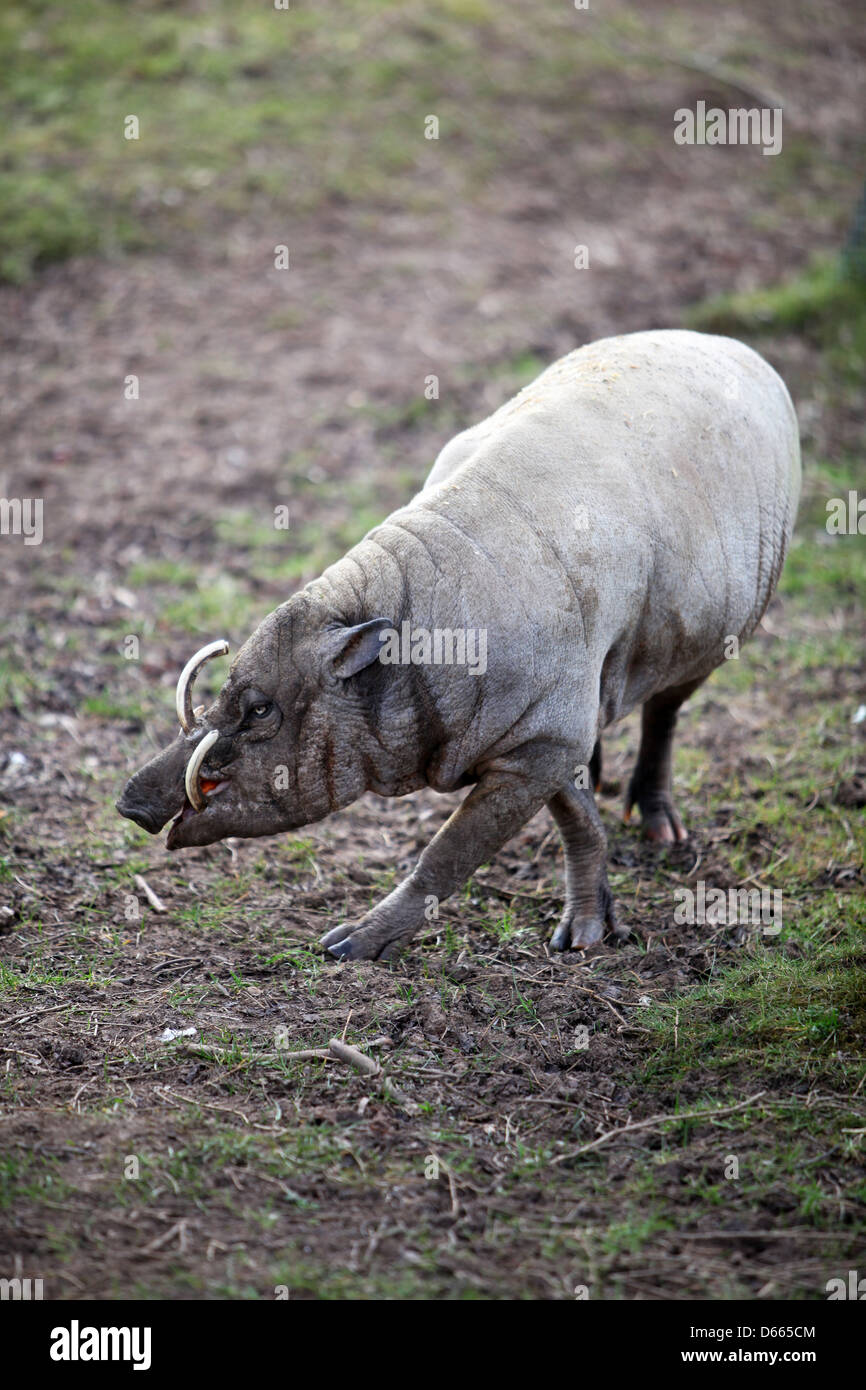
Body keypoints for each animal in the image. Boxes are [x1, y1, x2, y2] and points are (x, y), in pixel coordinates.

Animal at [117, 329, 801, 959]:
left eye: (260, 710)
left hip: (721, 632)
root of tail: (730, 344)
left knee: (665, 712)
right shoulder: (547, 736)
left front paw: (351, 944)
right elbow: (578, 815)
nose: (130, 803)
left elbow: (447, 853)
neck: (428, 639)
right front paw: (589, 926)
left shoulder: (541, 742)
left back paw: (660, 828)